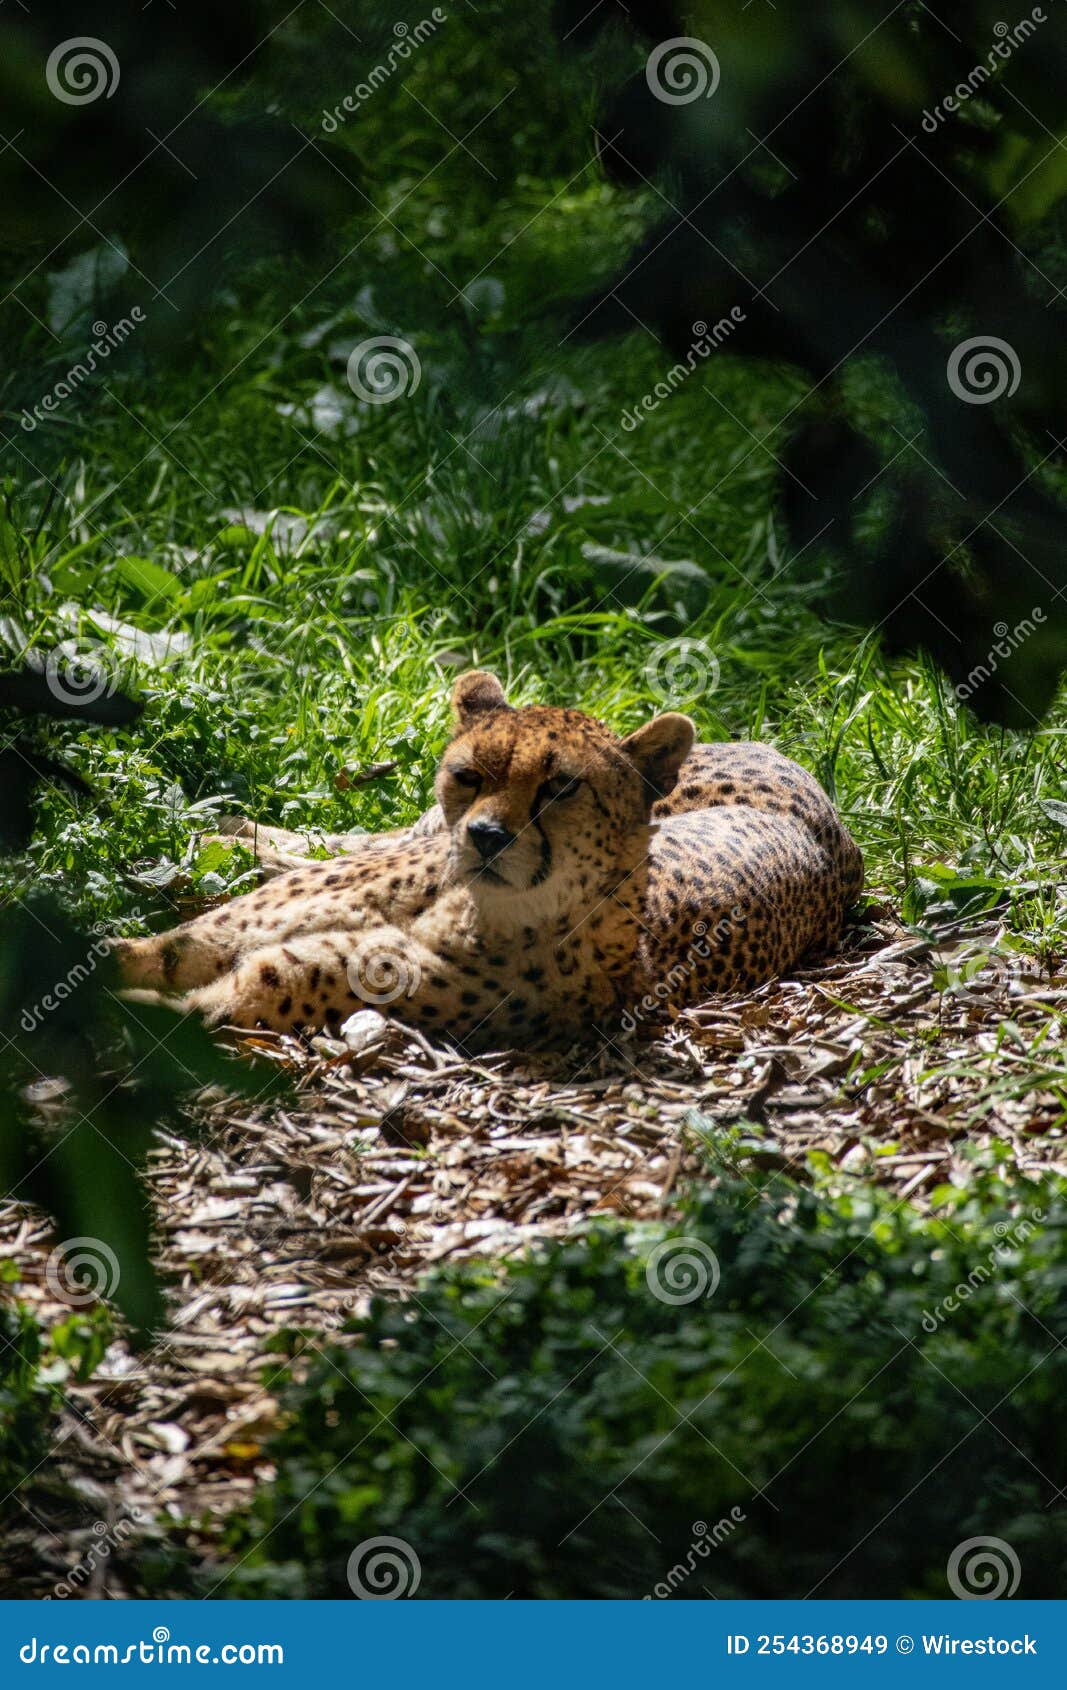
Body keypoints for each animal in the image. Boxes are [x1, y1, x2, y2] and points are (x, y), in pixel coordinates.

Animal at [114, 670, 864, 1050]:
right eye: (470, 775)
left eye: (560, 787)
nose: (484, 836)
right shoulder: (302, 908)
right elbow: (186, 943)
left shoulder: (315, 973)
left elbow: (214, 996)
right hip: (403, 839)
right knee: (343, 843)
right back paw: (222, 828)